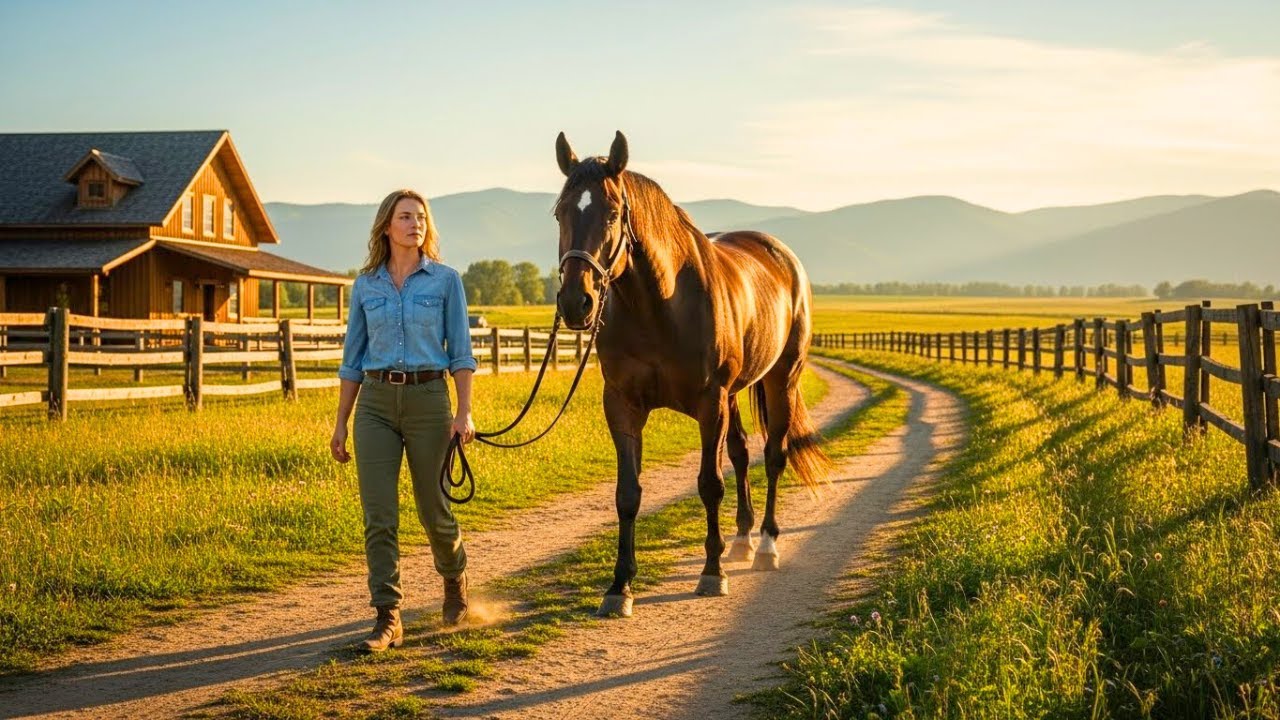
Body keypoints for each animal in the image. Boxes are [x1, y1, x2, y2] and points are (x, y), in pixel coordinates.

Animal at [552, 131, 832, 617]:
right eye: (559, 212)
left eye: (612, 213)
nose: (576, 302)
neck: (660, 306)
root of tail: (782, 255)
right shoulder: (622, 405)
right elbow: (628, 494)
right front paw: (619, 586)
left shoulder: (709, 403)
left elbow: (710, 484)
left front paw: (712, 573)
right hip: (737, 395)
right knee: (741, 453)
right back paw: (742, 540)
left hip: (781, 380)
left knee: (773, 457)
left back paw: (765, 546)